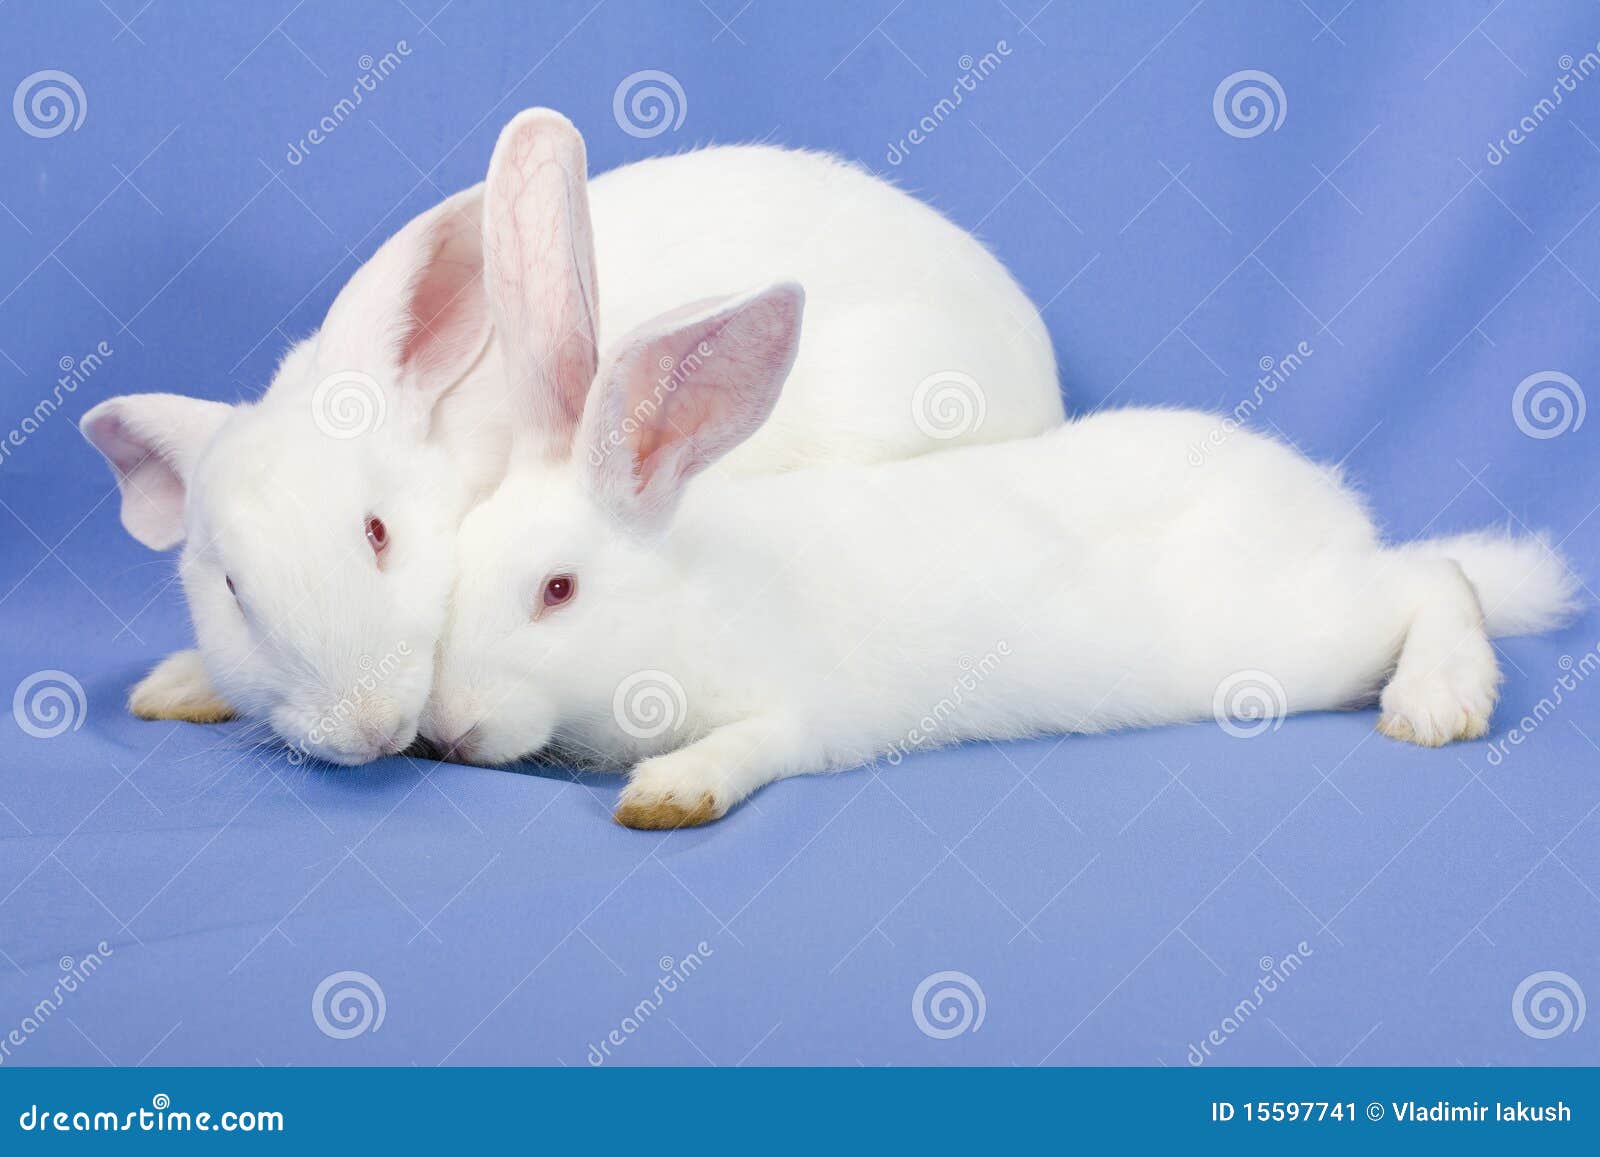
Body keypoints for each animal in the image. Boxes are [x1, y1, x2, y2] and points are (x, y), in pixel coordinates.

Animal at [427, 279, 1581, 829]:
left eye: (558, 590)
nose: (446, 730)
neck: (679, 597)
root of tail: (1334, 513)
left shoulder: (794, 715)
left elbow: (746, 751)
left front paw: (664, 796)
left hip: (1296, 640)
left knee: (1436, 578)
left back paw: (1436, 701)